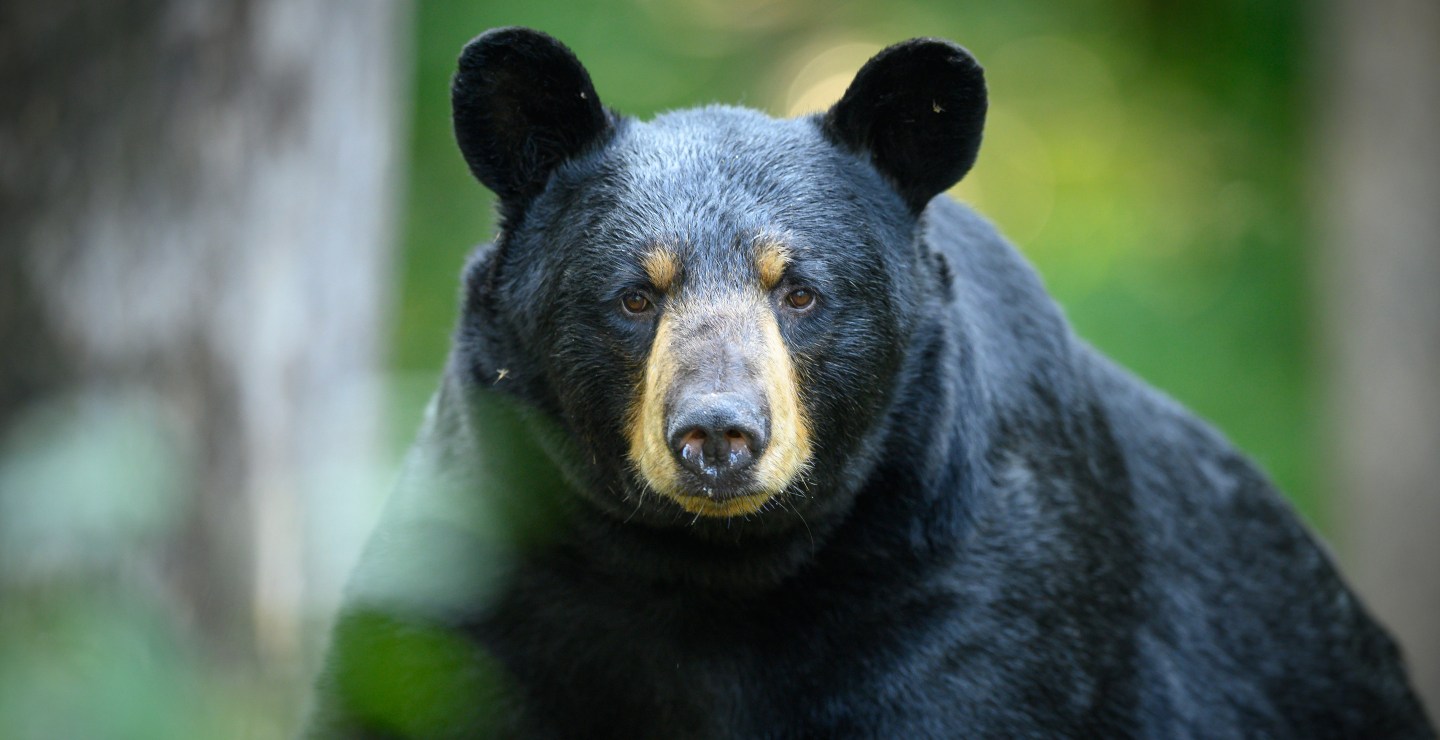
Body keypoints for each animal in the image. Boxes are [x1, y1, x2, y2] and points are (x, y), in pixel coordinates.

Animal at [307, 27, 1435, 738]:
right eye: (634, 295)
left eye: (801, 291)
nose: (718, 434)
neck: (706, 573)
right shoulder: (479, 572)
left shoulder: (970, 597)